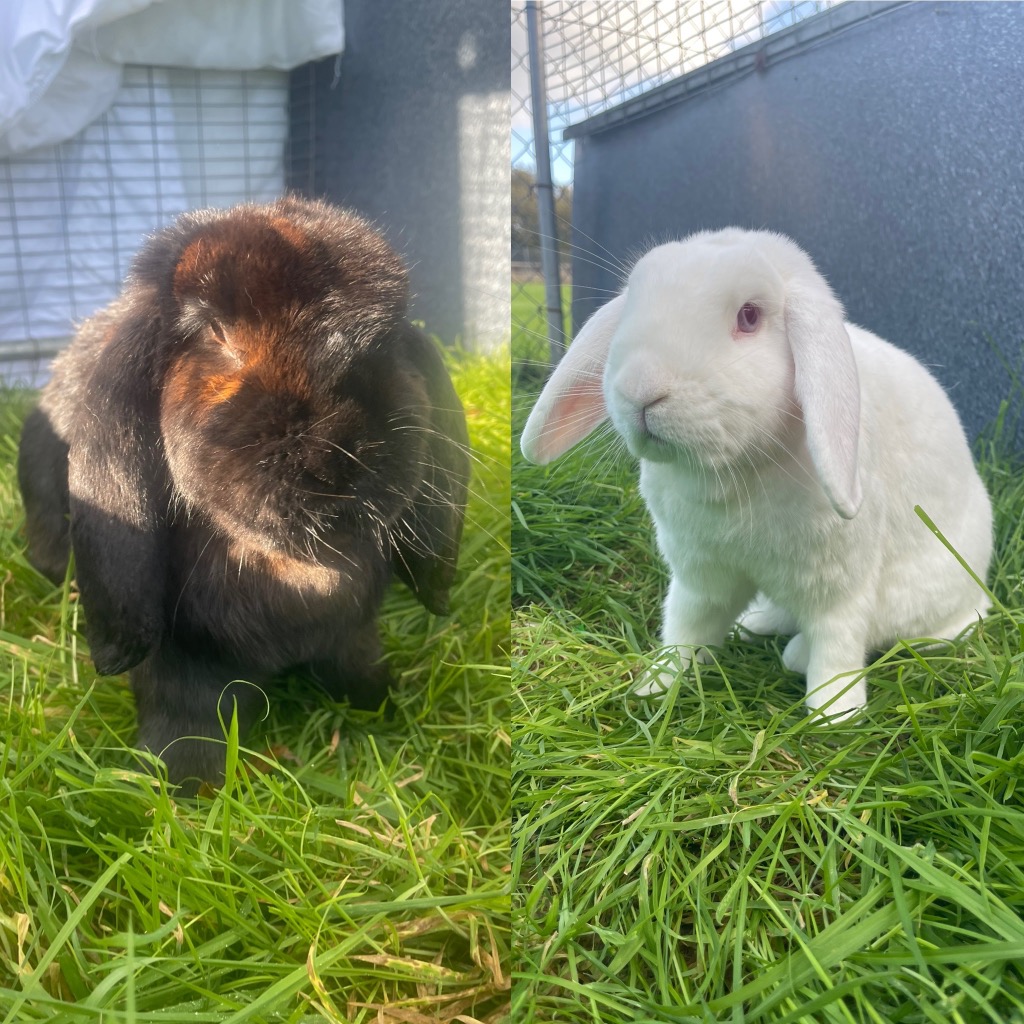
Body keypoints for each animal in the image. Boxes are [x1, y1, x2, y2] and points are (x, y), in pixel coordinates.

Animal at [18, 196, 470, 788]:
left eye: (390, 337)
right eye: (213, 330)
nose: (339, 452)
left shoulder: (352, 633)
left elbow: (358, 665)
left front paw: (384, 705)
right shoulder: (180, 662)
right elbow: (186, 718)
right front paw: (180, 784)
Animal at [521, 228, 992, 720]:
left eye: (749, 316)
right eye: (634, 301)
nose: (640, 390)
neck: (735, 473)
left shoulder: (840, 586)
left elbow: (837, 644)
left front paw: (833, 713)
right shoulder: (700, 576)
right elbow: (686, 625)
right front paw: (656, 685)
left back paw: (798, 655)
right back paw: (755, 624)